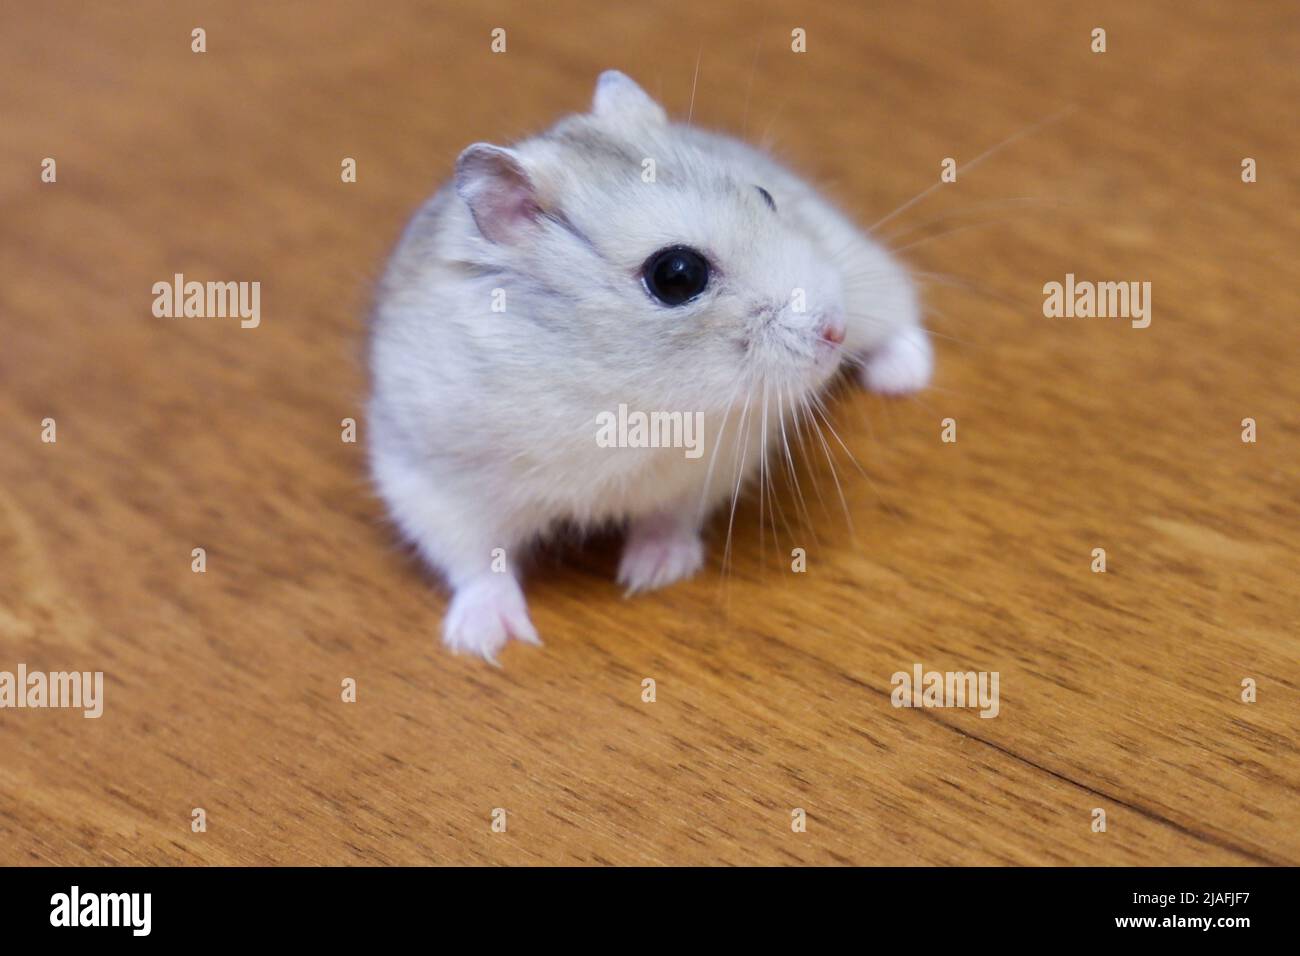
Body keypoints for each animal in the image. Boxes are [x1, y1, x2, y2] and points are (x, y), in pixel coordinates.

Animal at [368, 71, 932, 662]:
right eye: (676, 275)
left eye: (764, 196)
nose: (833, 332)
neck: (625, 388)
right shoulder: (430, 478)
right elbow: (476, 560)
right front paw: (484, 642)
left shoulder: (709, 465)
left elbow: (671, 515)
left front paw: (649, 574)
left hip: (857, 267)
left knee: (899, 308)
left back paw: (902, 376)